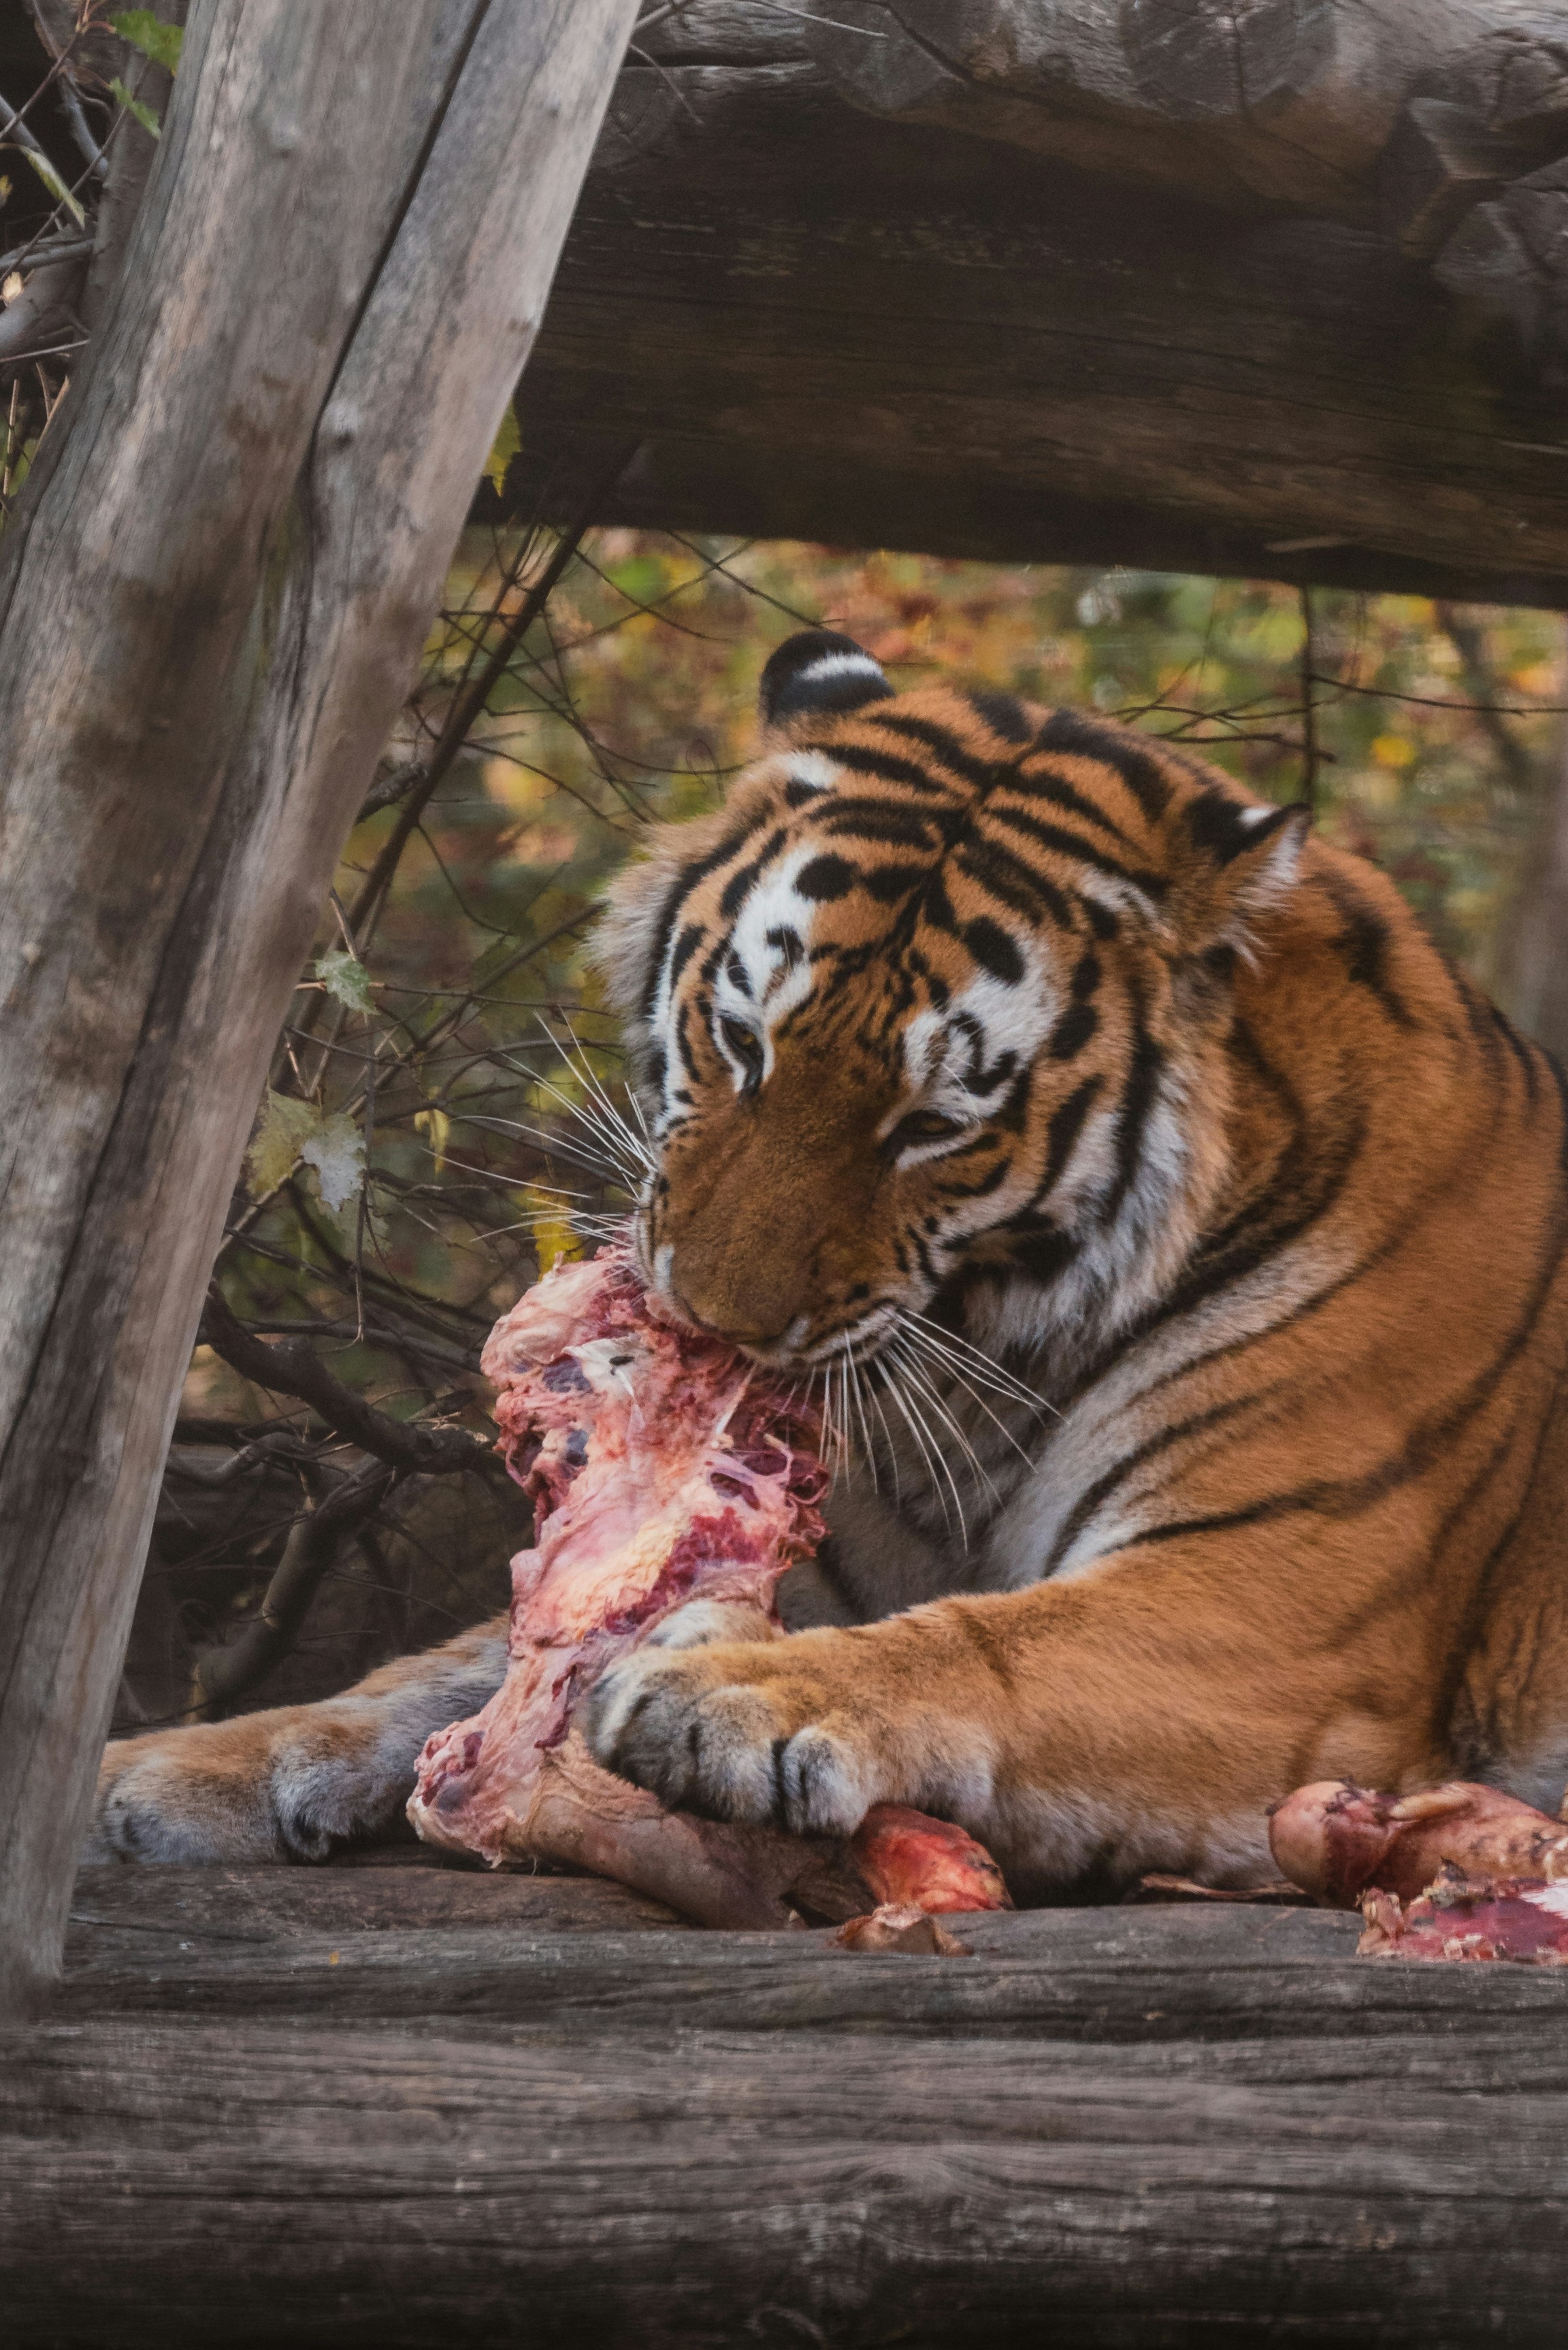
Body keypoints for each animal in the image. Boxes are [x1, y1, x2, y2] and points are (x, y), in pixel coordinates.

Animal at [89, 627, 1568, 1897]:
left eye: (931, 1124)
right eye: (743, 1040)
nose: (716, 1317)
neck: (1000, 1349)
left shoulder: (1277, 1606)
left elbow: (995, 1639)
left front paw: (735, 1692)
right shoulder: (852, 1546)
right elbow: (452, 1663)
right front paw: (168, 1761)